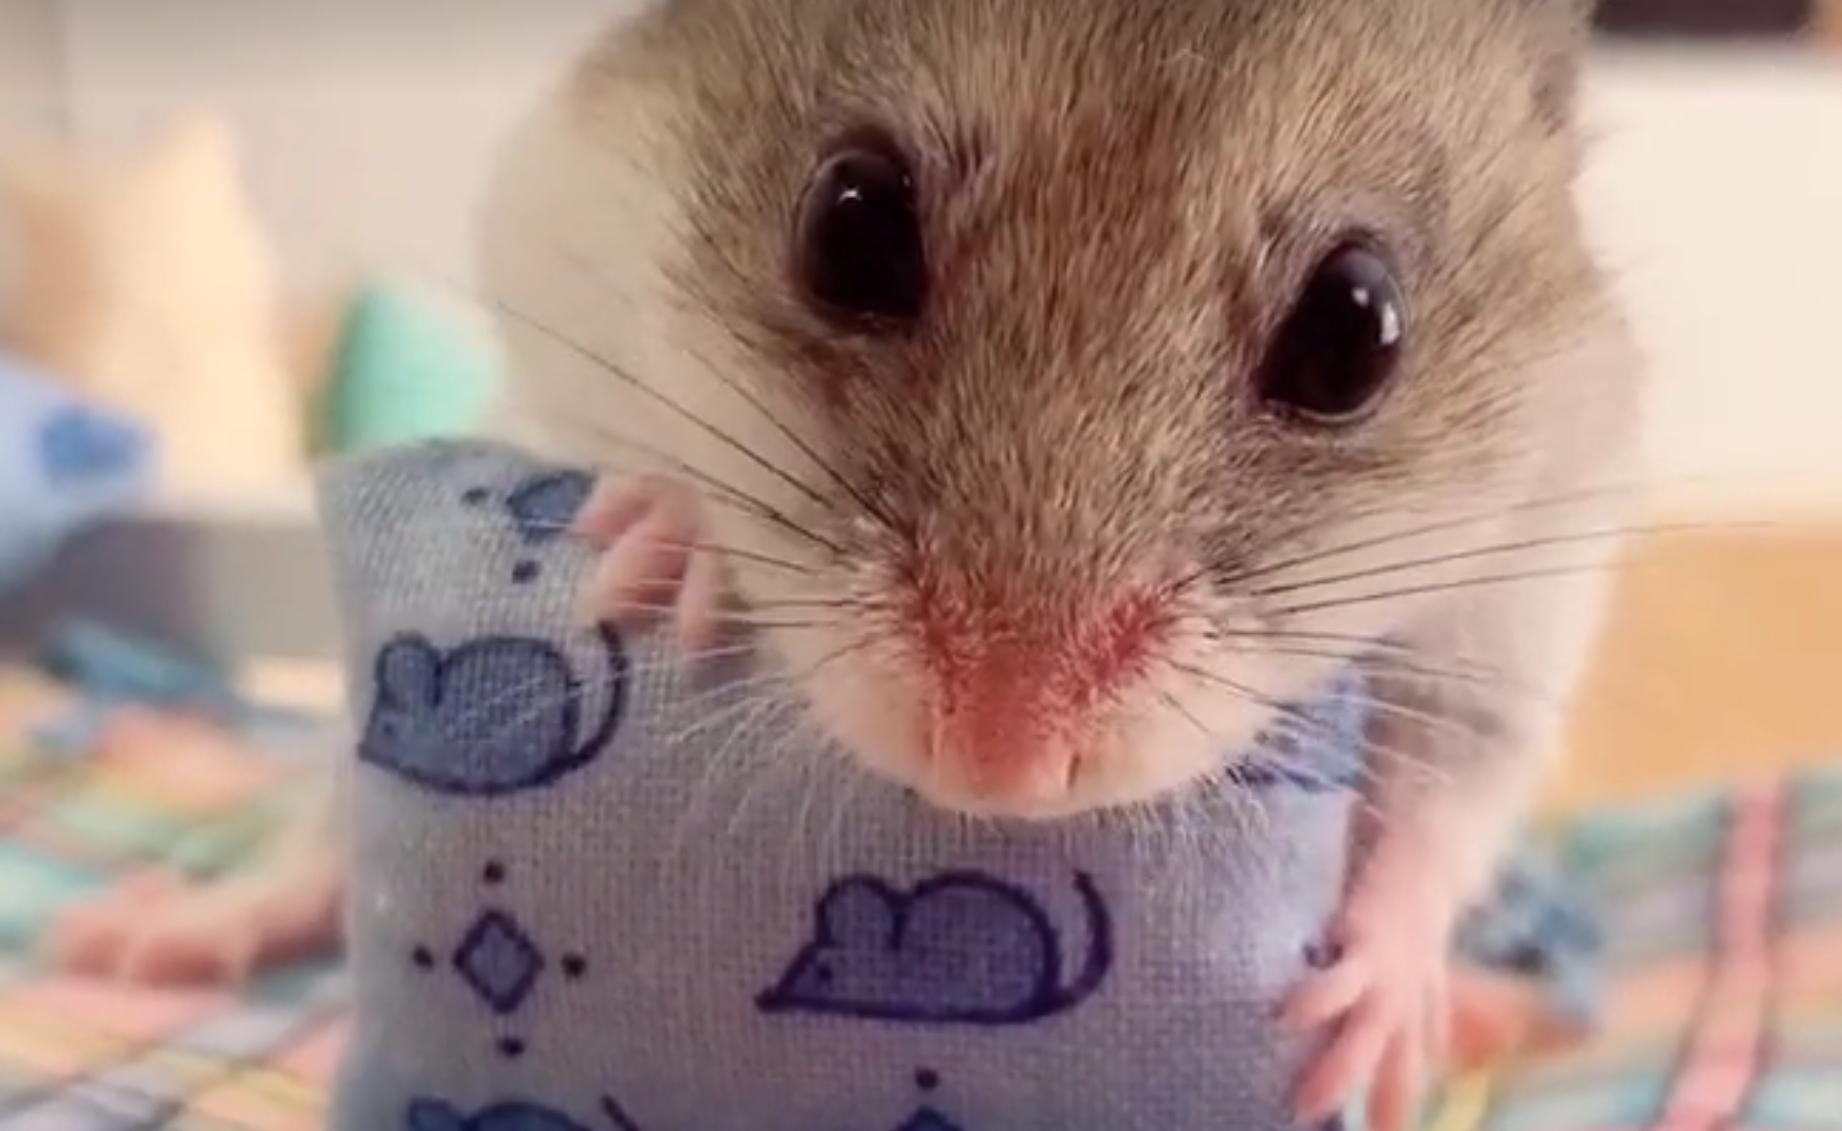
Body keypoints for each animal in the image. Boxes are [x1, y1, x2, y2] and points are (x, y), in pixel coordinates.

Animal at [54, 2, 1641, 1128]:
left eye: (1354, 329)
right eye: (850, 224)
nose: (997, 761)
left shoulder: (1526, 587)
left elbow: (1446, 801)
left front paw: (1369, 1015)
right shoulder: (554, 231)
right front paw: (673, 539)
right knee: (320, 836)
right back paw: (157, 933)